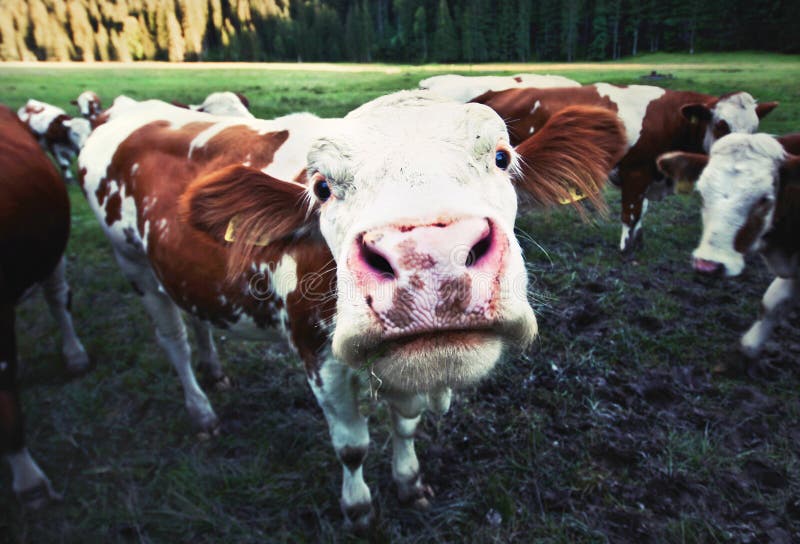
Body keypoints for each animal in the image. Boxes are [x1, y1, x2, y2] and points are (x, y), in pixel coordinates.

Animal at [77, 91, 625, 528]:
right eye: (321, 186)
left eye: (501, 157)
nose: (429, 260)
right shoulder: (316, 355)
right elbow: (352, 444)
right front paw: (358, 507)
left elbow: (405, 426)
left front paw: (409, 481)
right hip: (132, 262)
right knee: (174, 343)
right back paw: (201, 409)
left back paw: (214, 371)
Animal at [471, 84, 779, 255]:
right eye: (721, 125)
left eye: (754, 127)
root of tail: (494, 92)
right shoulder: (636, 171)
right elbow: (631, 213)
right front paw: (627, 249)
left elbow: (641, 212)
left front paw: (639, 242)